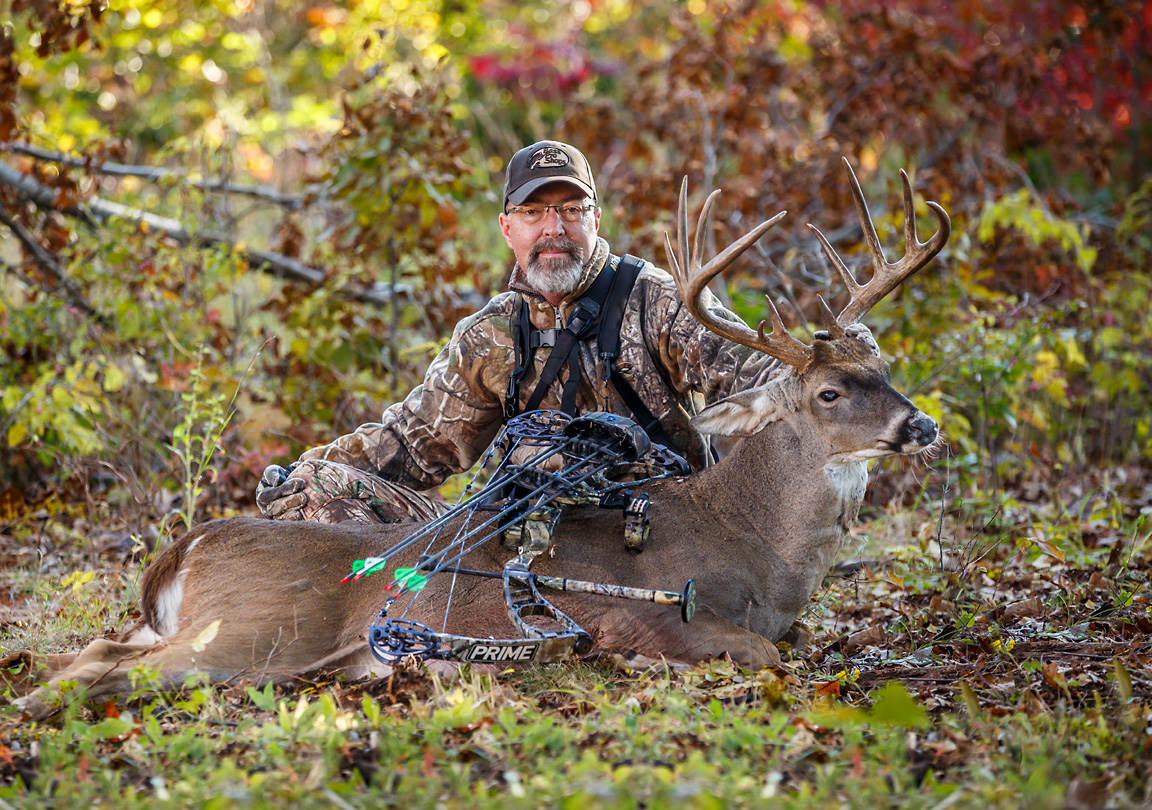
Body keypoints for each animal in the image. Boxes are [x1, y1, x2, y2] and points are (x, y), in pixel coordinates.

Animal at [7, 160, 948, 719]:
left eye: (886, 367)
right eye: (830, 391)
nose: (922, 425)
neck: (761, 550)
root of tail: (189, 545)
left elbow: (797, 644)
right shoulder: (647, 614)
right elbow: (754, 652)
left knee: (90, 649)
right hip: (250, 635)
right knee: (104, 672)